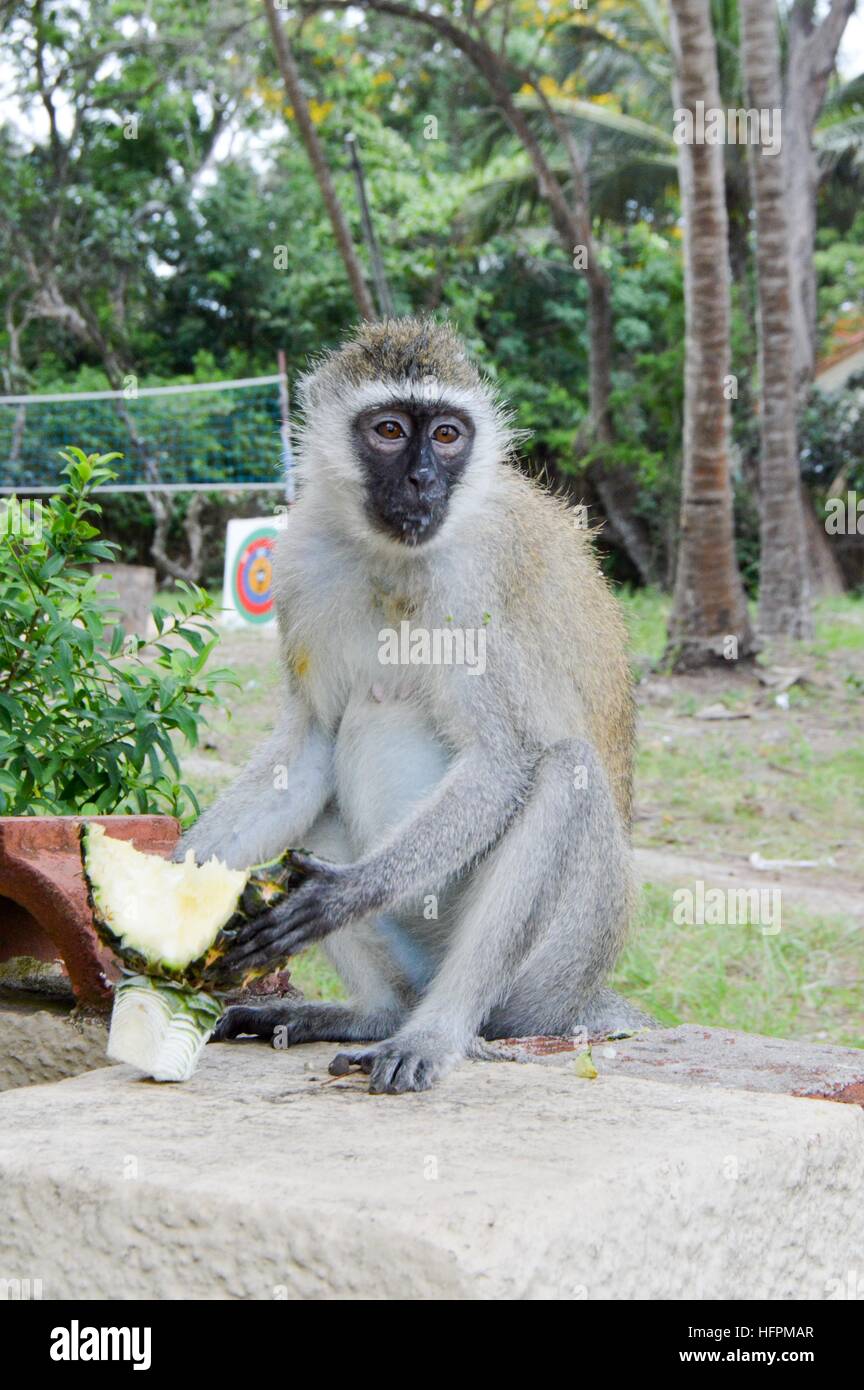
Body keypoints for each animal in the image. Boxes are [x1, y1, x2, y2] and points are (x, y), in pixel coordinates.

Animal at [182, 316, 651, 1092]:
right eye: (391, 430)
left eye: (448, 435)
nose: (424, 479)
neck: (392, 561)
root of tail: (584, 998)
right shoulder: (301, 562)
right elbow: (312, 742)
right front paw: (166, 877)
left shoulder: (474, 582)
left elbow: (504, 759)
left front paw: (347, 892)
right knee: (325, 790)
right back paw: (372, 1016)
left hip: (554, 975)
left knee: (564, 772)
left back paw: (435, 1031)